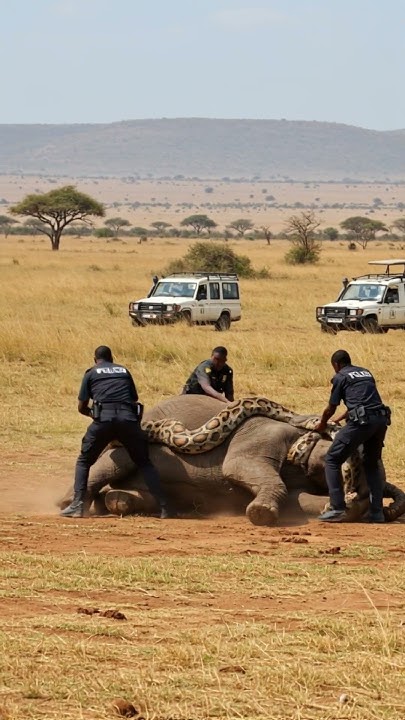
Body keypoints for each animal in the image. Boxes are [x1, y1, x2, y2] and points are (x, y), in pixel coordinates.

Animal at [58, 395, 405, 526]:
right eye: (354, 465)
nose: (354, 491)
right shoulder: (259, 434)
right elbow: (237, 466)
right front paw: (262, 514)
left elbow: (298, 499)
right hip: (124, 445)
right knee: (112, 461)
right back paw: (68, 502)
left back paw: (119, 501)